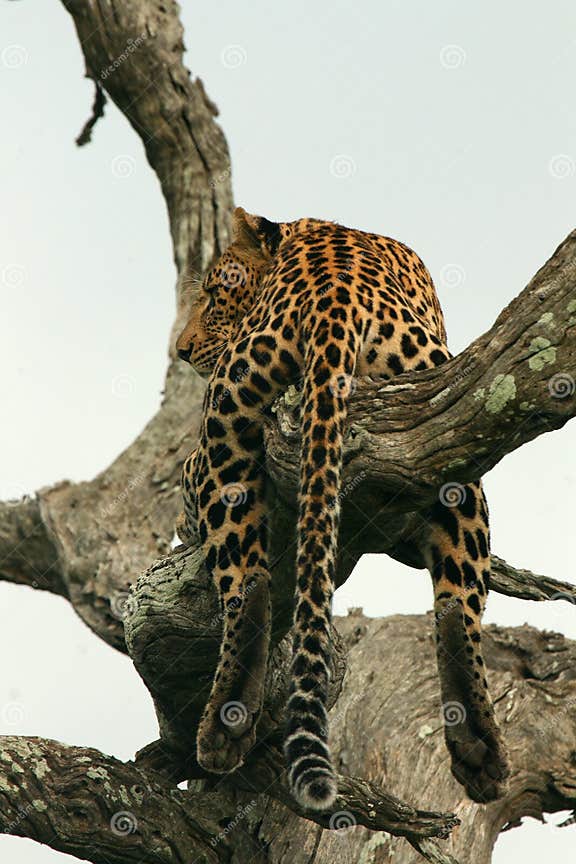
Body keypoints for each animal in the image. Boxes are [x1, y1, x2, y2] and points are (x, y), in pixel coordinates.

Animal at [175, 207, 509, 811]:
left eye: (216, 294)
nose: (183, 352)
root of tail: (333, 301)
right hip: (443, 412)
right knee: (458, 604)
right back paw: (477, 745)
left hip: (228, 404)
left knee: (244, 574)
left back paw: (225, 722)